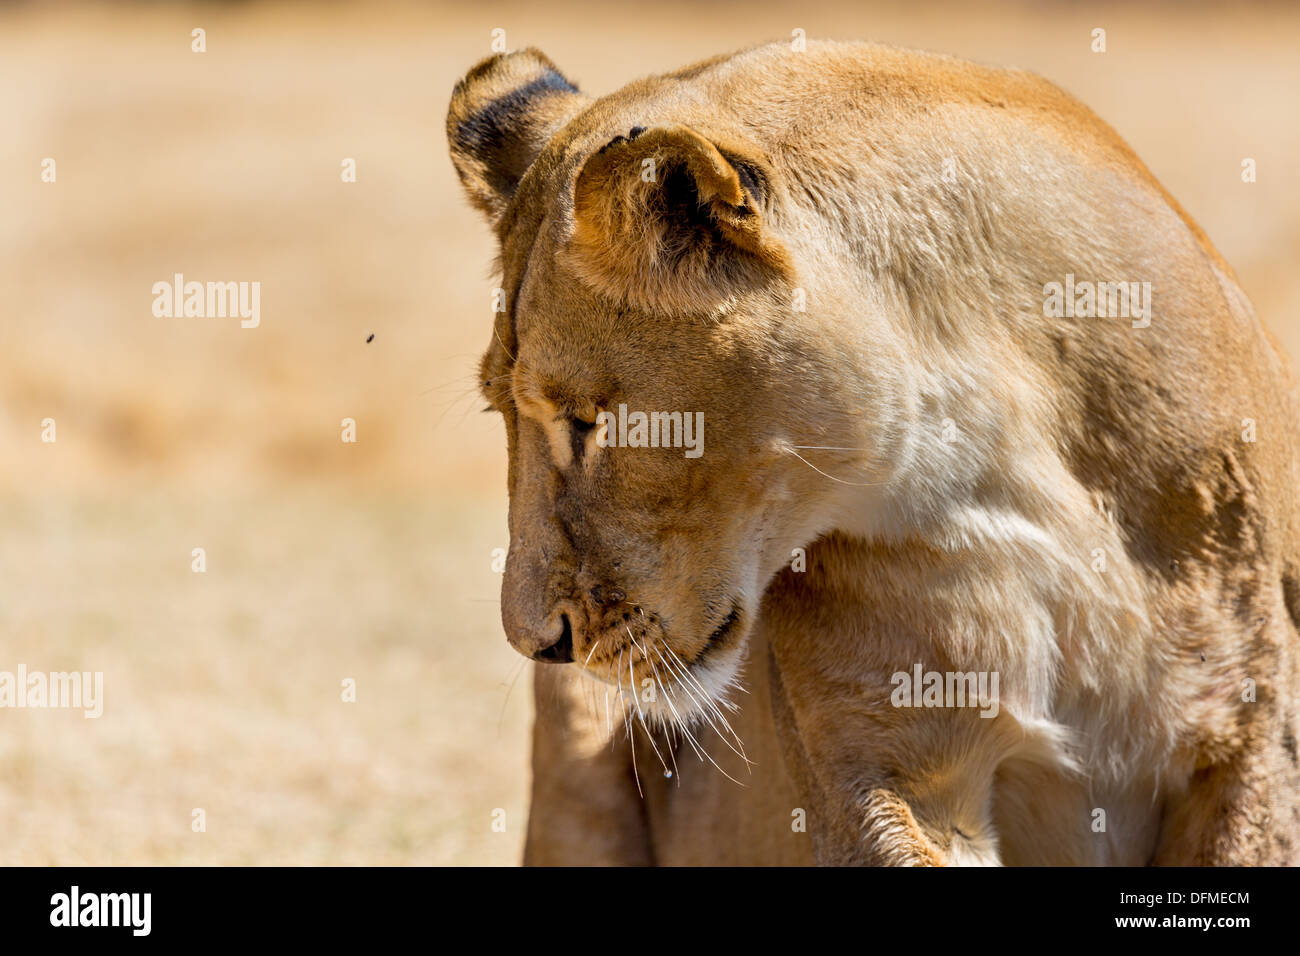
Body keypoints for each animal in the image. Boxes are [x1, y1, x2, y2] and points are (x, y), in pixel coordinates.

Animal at [446, 40, 1300, 865]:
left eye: (585, 422)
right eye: (497, 408)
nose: (537, 643)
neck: (999, 459)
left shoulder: (1255, 734)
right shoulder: (882, 762)